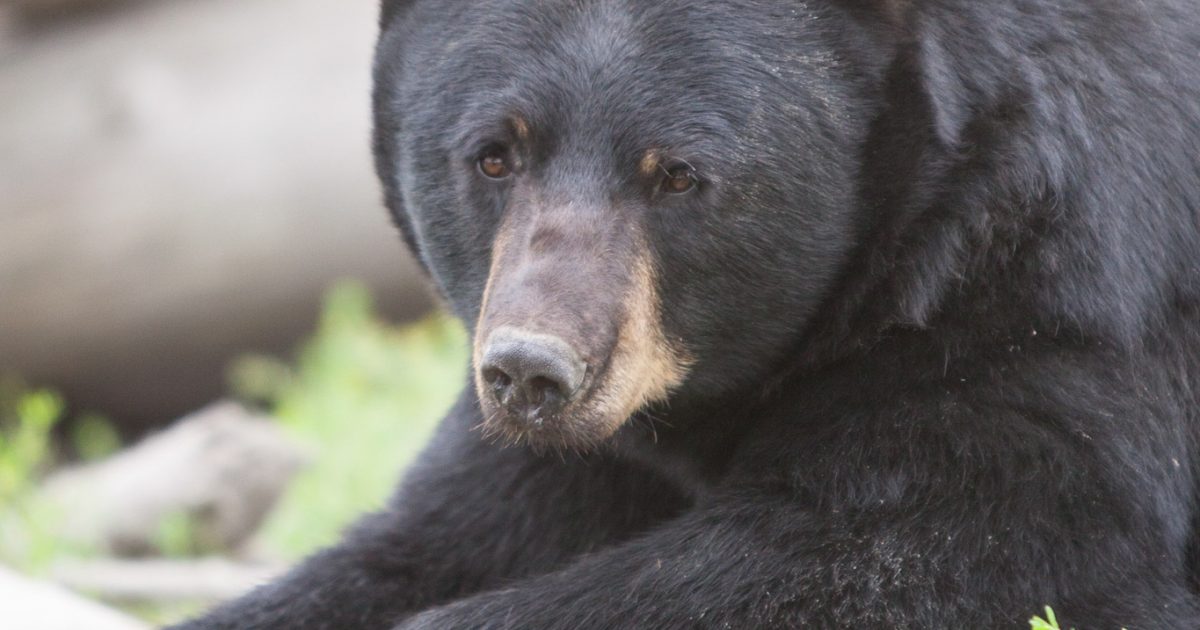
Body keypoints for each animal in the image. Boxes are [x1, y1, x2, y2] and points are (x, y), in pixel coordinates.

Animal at [178, 0, 1200, 627]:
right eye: (493, 155)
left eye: (677, 174)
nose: (532, 372)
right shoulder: (572, 447)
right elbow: (424, 539)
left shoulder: (1055, 310)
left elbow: (931, 547)